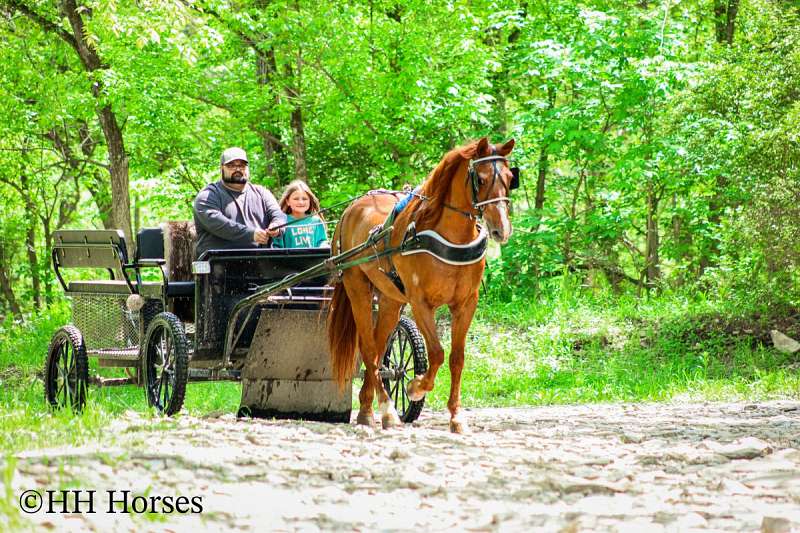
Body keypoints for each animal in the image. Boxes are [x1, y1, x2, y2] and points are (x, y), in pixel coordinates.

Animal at [327, 137, 517, 433]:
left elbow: (457, 358)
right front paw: (416, 387)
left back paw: (368, 409)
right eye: (481, 178)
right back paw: (387, 410)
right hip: (357, 287)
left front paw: (456, 417)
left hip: (391, 299)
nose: (501, 229)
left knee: (379, 350)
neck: (449, 238)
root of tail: (352, 208)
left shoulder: (466, 303)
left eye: (510, 178)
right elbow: (437, 353)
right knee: (368, 350)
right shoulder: (420, 303)